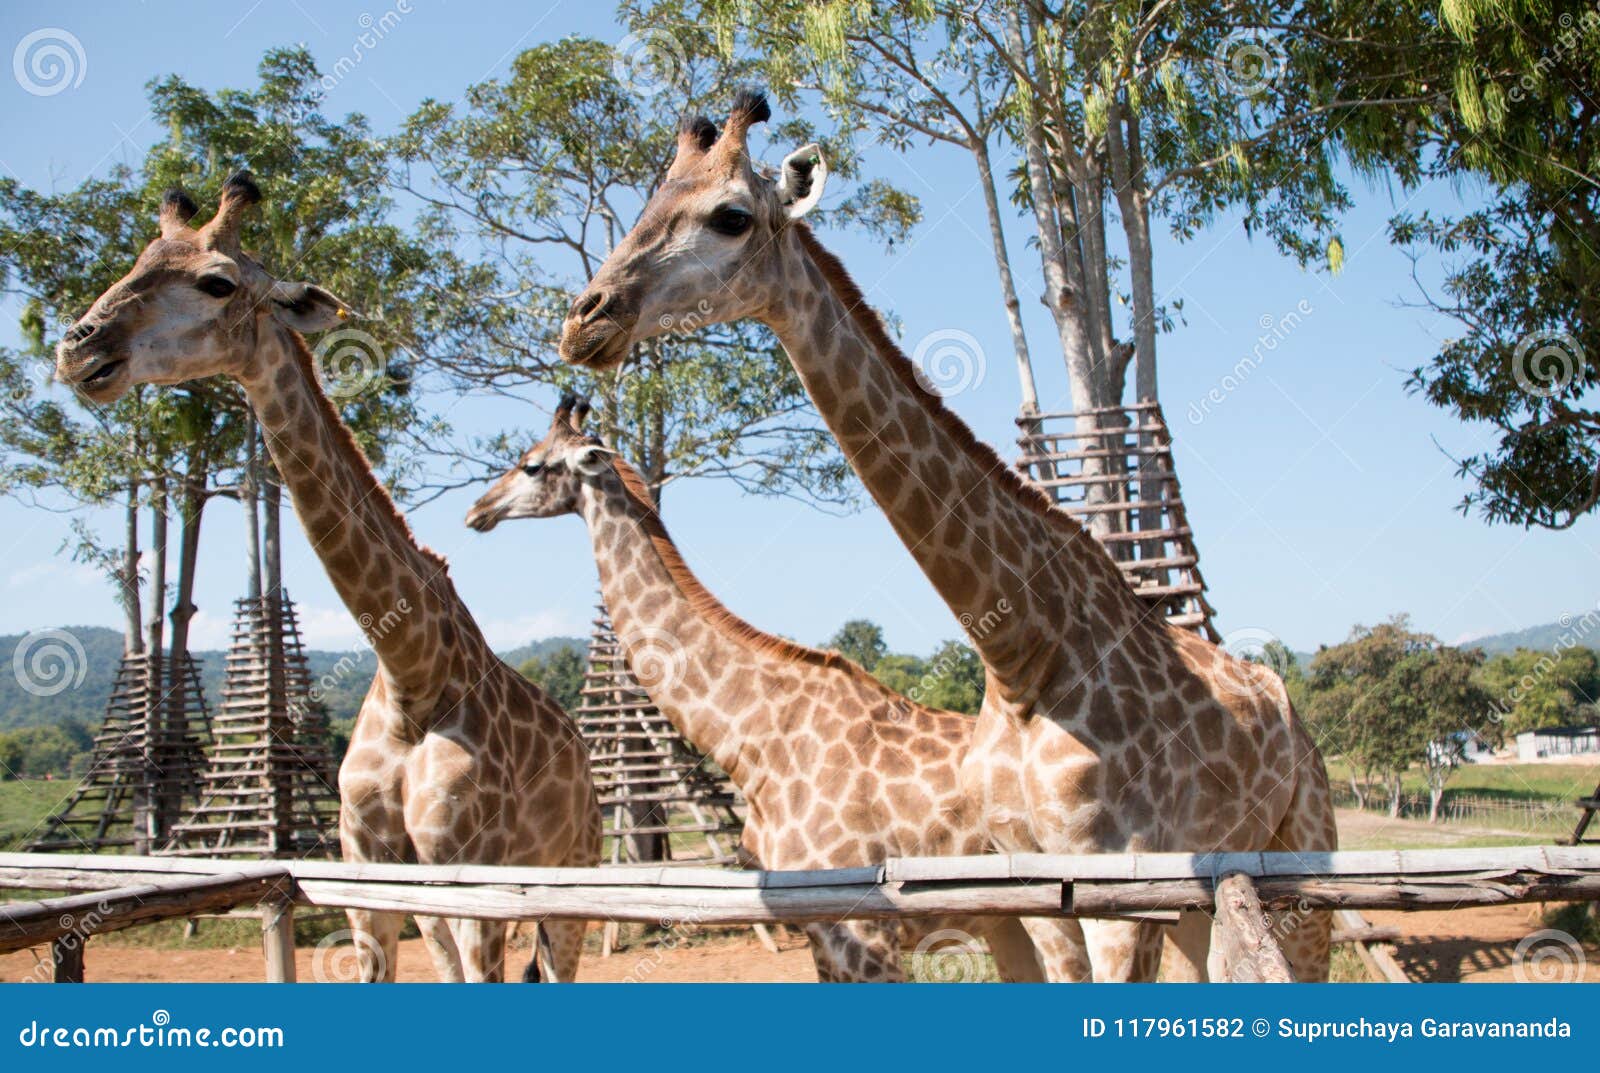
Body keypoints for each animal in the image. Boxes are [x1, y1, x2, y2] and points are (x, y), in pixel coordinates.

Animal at [54, 174, 602, 983]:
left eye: (216, 282)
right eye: (137, 260)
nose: (78, 348)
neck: (411, 672)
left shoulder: (474, 877)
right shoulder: (369, 880)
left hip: (570, 876)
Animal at [466, 397, 1090, 982]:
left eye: (532, 465)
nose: (477, 510)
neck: (756, 742)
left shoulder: (866, 928)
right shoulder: (821, 931)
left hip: (1059, 913)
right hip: (1006, 924)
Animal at [555, 93, 1338, 982]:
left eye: (730, 216)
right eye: (650, 203)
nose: (585, 321)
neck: (1025, 654)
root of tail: (1289, 712)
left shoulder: (1112, 889)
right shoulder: (1038, 890)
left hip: (1298, 863)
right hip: (1197, 894)